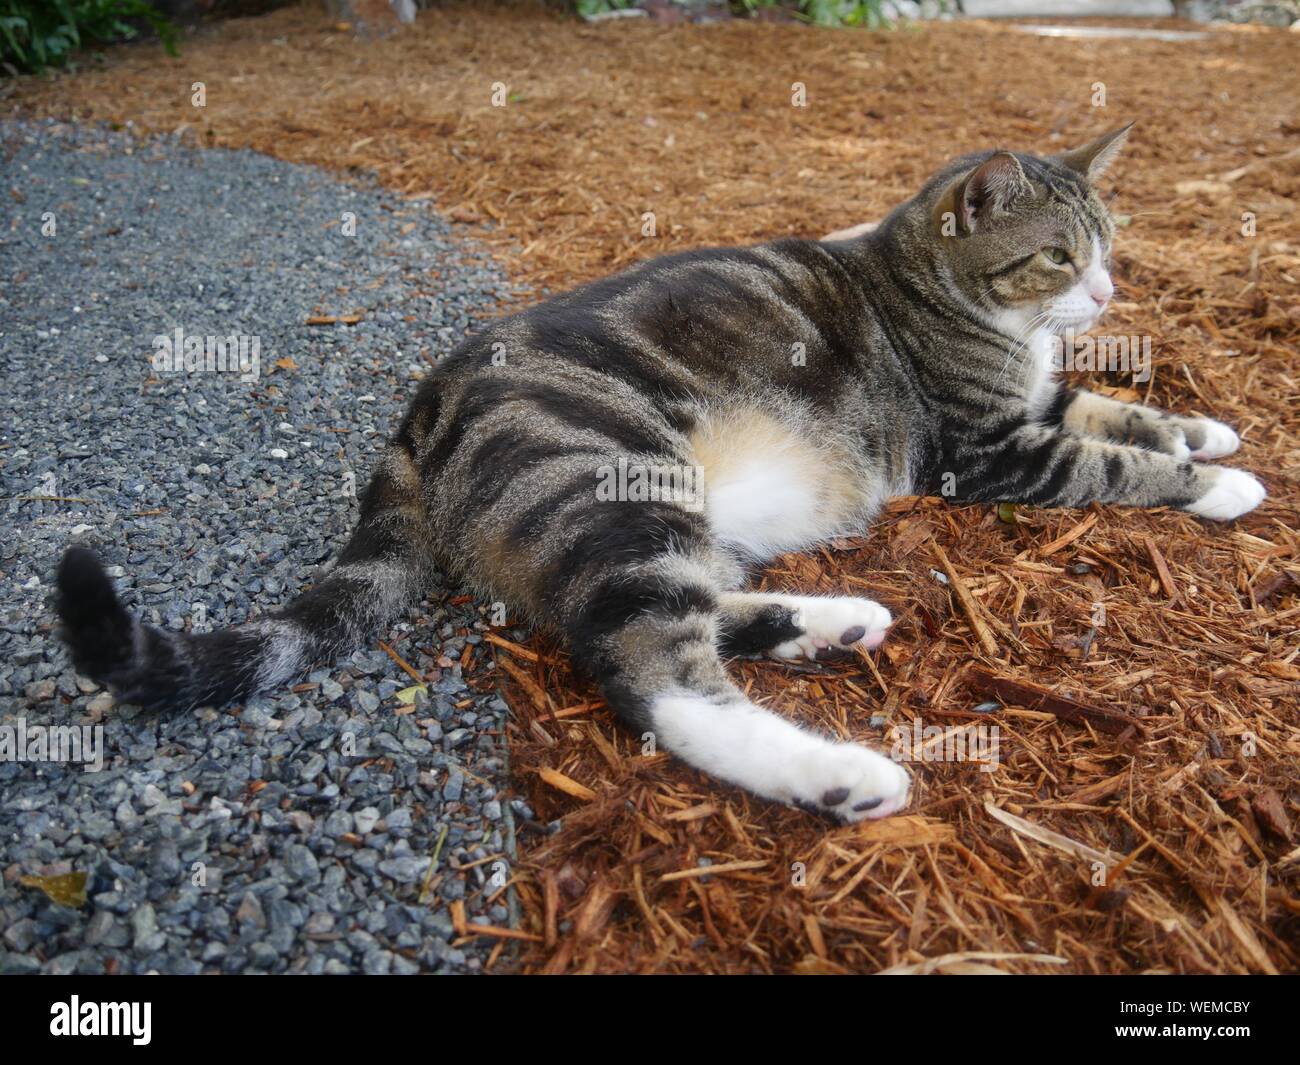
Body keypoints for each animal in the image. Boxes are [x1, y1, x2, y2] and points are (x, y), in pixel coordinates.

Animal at [55, 124, 1263, 827]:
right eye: (1059, 255)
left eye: (1109, 247)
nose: (1106, 295)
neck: (937, 284)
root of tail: (423, 407)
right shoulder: (990, 444)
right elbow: (1110, 460)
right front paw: (1218, 487)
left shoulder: (1035, 400)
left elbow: (1113, 407)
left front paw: (1205, 430)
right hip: (618, 483)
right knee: (648, 672)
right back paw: (839, 775)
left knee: (685, 606)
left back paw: (830, 621)